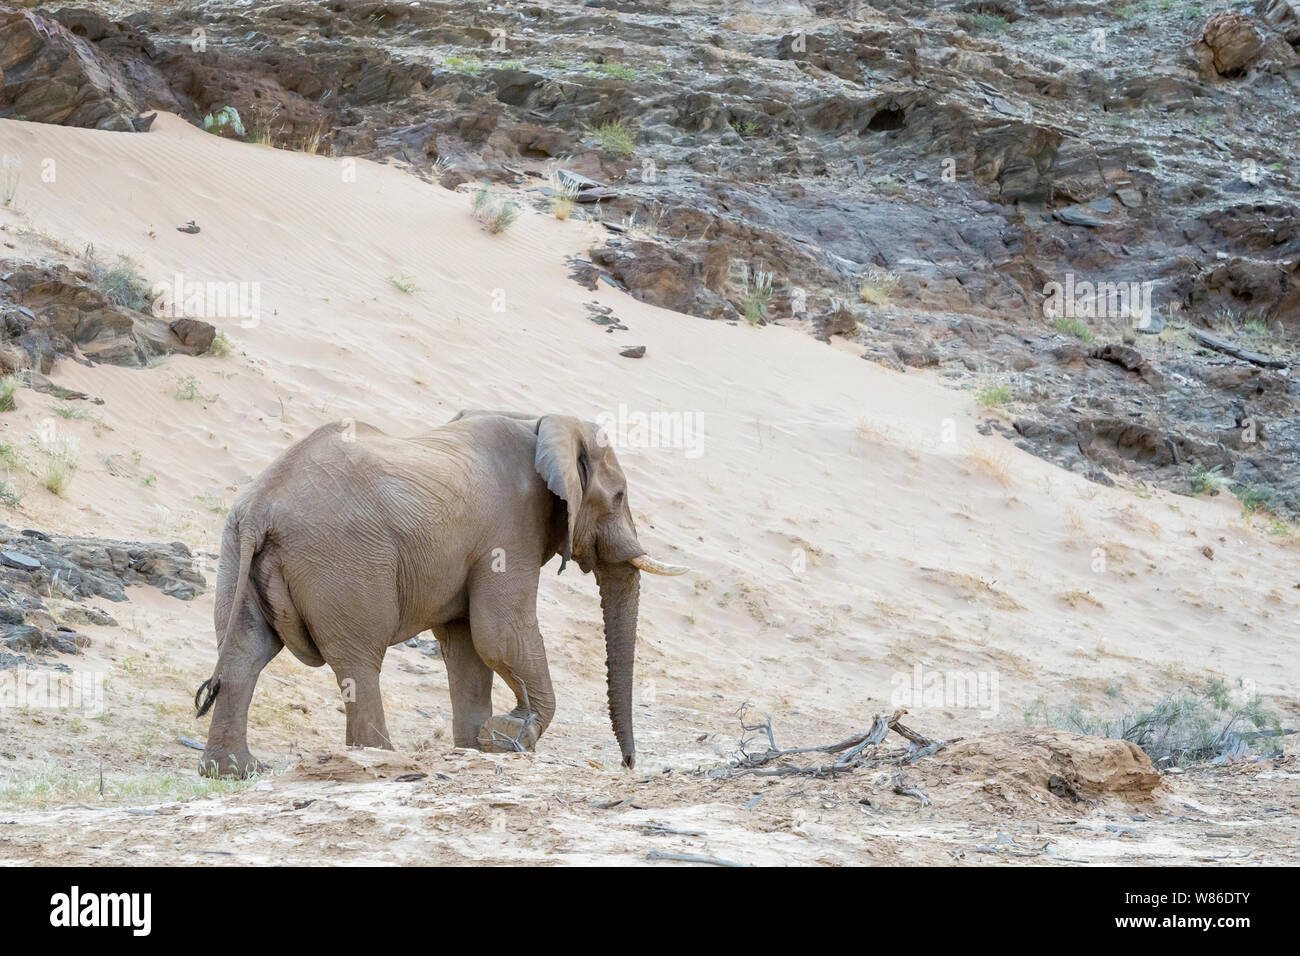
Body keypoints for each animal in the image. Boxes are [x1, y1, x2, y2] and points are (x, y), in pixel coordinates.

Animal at [193, 410, 687, 778]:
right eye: (619, 496)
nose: (628, 764)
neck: (542, 422)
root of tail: (261, 508)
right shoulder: (510, 530)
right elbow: (499, 634)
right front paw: (507, 736)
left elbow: (467, 644)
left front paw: (477, 746)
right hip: (343, 562)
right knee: (358, 660)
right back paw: (380, 761)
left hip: (235, 551)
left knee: (244, 653)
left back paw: (235, 771)